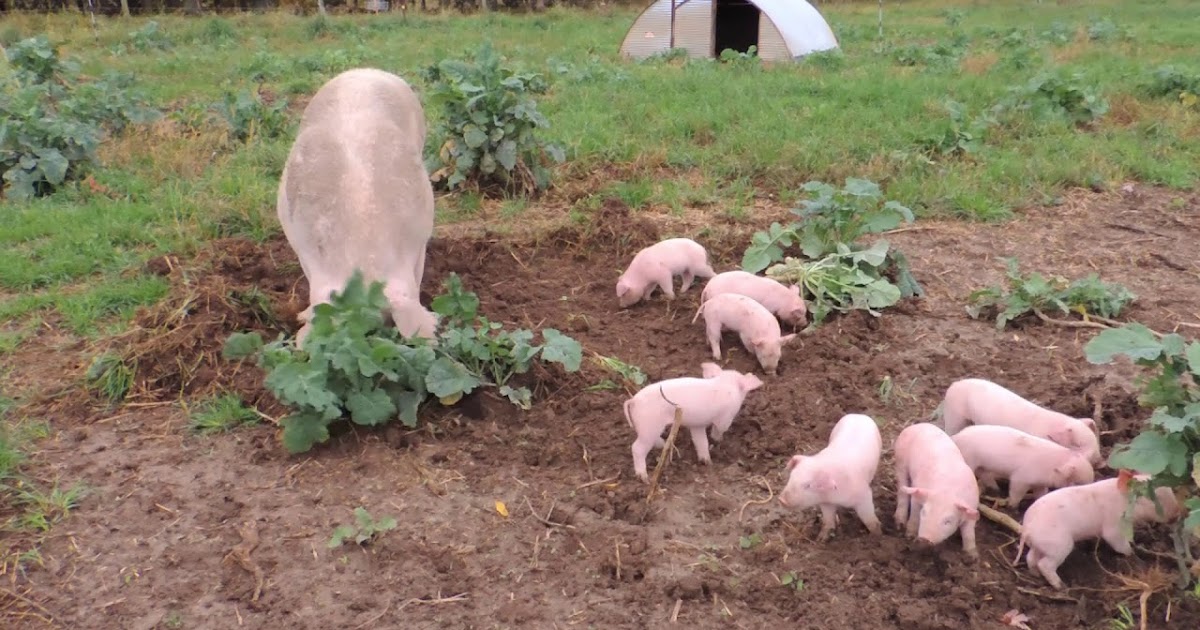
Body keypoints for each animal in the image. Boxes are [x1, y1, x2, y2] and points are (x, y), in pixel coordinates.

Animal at [623, 362, 764, 483]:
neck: (726, 385)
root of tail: (633, 400)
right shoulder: (726, 417)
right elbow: (719, 429)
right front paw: (717, 441)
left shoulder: (697, 425)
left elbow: (701, 442)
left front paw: (707, 462)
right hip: (649, 426)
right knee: (636, 448)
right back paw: (644, 478)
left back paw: (663, 445)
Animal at [893, 422, 981, 559]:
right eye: (924, 512)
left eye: (948, 521)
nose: (924, 540)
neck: (948, 491)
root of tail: (916, 425)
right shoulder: (919, 493)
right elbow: (914, 515)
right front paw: (909, 535)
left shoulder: (972, 506)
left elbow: (969, 533)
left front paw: (972, 556)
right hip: (900, 460)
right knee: (902, 489)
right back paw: (899, 524)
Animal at [951, 425, 1095, 507]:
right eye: (1077, 483)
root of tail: (956, 437)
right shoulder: (1021, 477)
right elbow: (1016, 491)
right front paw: (1012, 506)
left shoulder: (1039, 483)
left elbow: (1041, 493)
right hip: (970, 459)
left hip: (983, 465)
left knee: (984, 474)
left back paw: (996, 490)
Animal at [1015, 478, 1182, 590]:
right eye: (1154, 499)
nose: (1178, 512)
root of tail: (1027, 528)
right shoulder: (1113, 525)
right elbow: (1117, 541)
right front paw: (1131, 554)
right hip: (1059, 545)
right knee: (1045, 564)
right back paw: (1061, 586)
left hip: (1040, 545)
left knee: (1031, 558)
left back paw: (1035, 575)